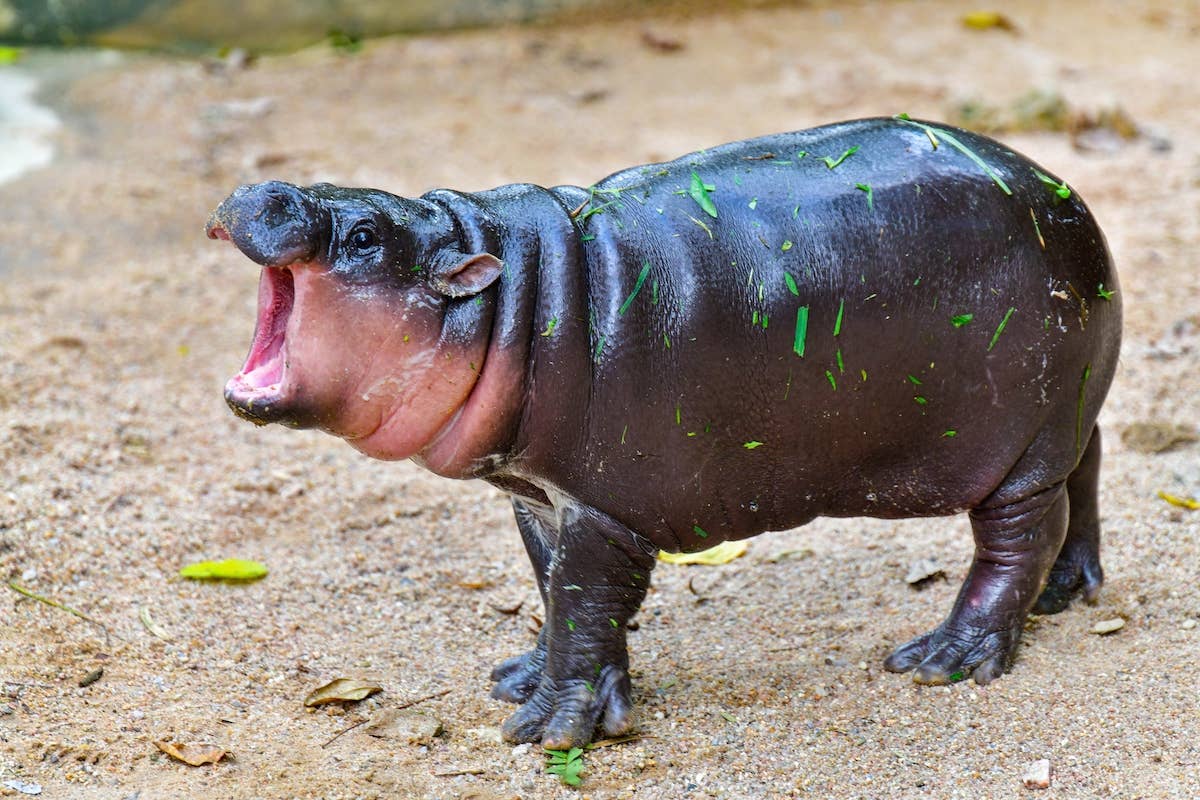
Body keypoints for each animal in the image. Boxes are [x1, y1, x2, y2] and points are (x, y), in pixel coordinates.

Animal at [206, 117, 1121, 748]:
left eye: (365, 235)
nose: (264, 189)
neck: (509, 293)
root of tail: (1064, 194)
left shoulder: (605, 506)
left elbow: (582, 600)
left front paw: (550, 729)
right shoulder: (541, 497)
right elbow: (558, 592)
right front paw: (521, 678)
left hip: (1019, 445)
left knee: (1018, 539)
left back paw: (943, 659)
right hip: (1068, 413)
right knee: (1088, 475)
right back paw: (1068, 592)